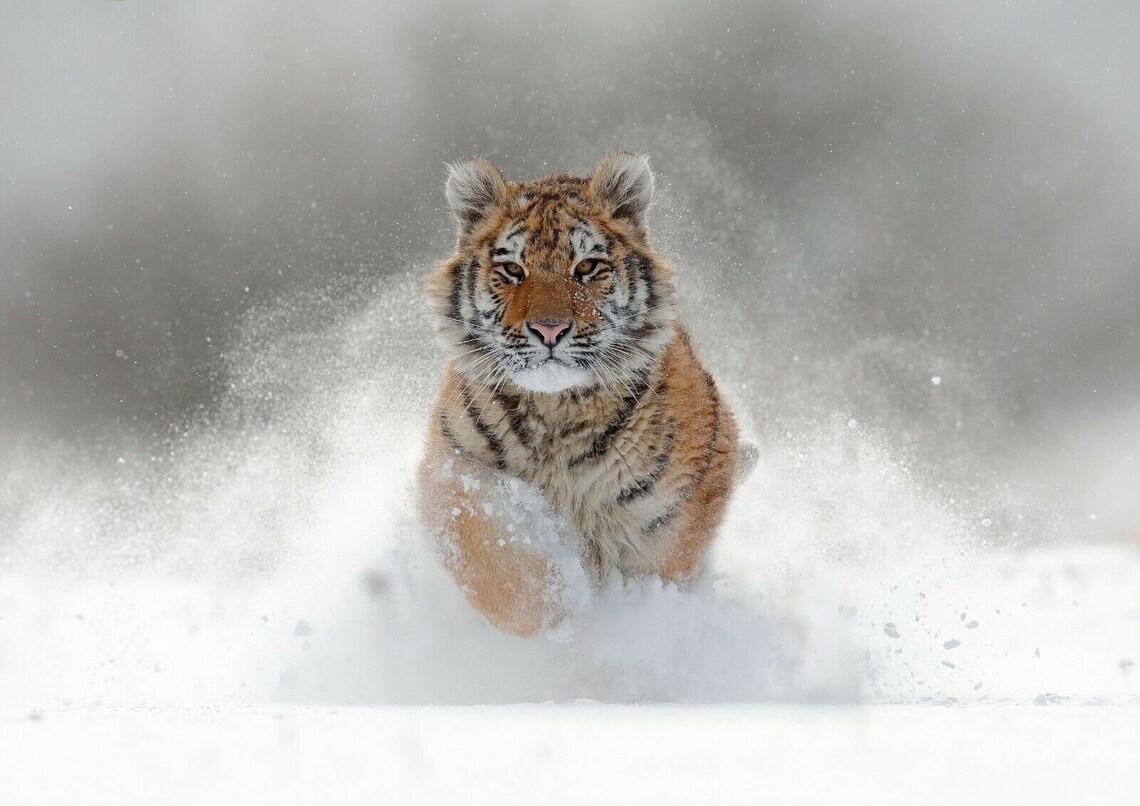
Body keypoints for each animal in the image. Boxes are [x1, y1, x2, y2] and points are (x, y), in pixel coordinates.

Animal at [417, 152, 752, 636]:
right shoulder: (453, 471)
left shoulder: (671, 517)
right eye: (513, 270)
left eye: (587, 267)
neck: (556, 411)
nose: (548, 330)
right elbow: (497, 563)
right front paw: (558, 610)